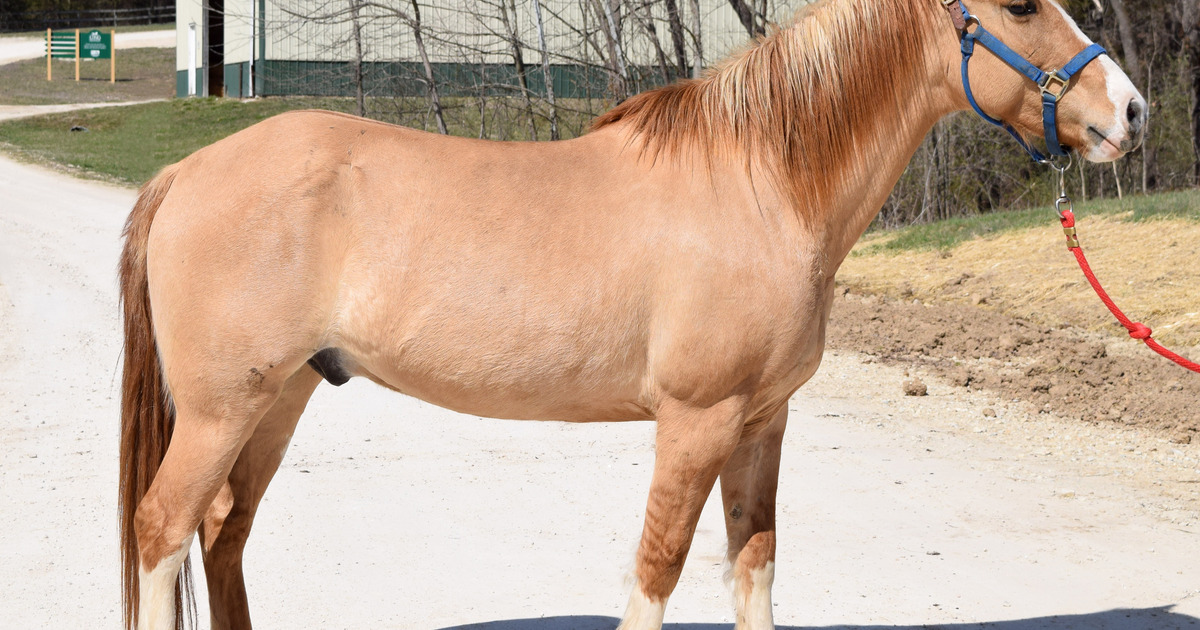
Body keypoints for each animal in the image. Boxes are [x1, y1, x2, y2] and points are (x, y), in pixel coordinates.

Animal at [117, 0, 1145, 628]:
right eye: (1021, 7)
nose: (1129, 112)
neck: (760, 184)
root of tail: (184, 173)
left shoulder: (762, 423)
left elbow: (754, 562)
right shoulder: (696, 422)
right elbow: (659, 568)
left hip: (280, 398)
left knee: (223, 532)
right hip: (221, 409)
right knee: (164, 528)